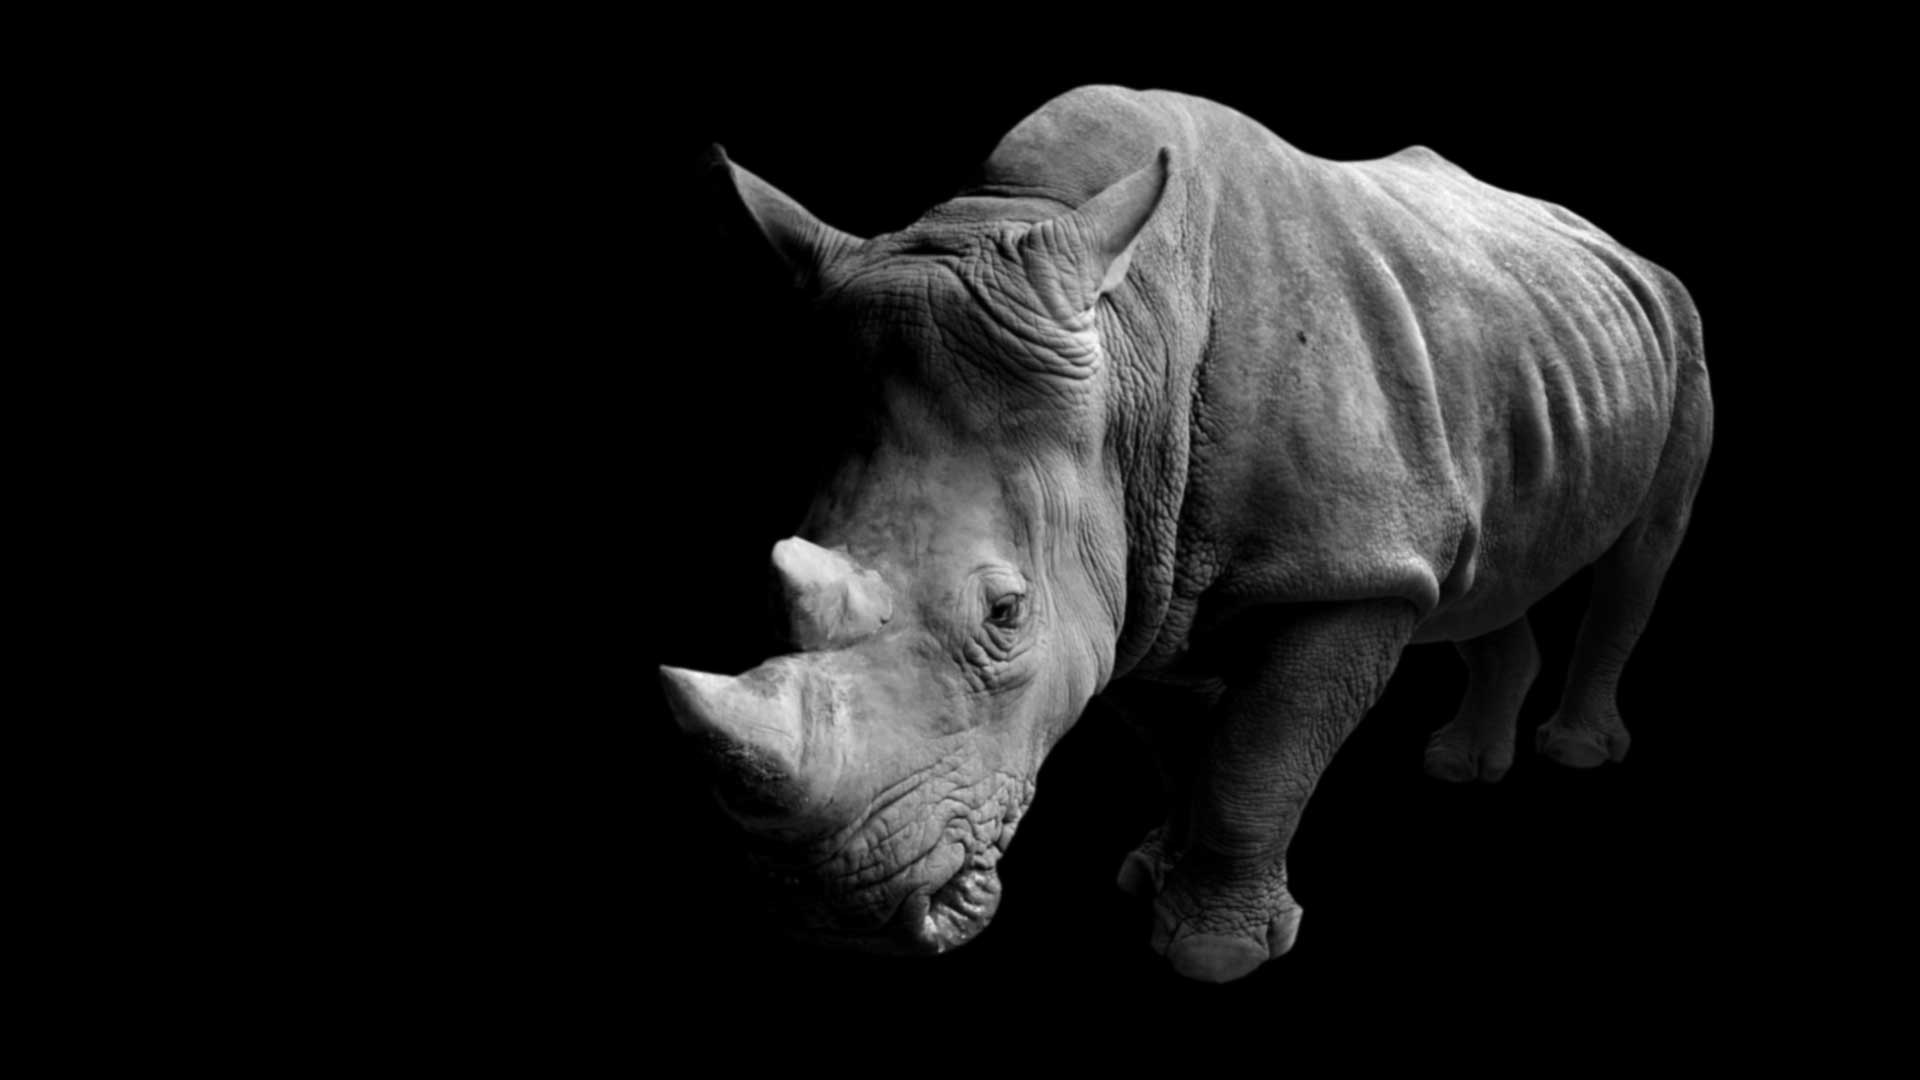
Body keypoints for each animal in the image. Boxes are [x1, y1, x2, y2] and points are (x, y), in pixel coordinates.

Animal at [659, 85, 1712, 983]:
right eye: (772, 587)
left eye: (1005, 615)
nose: (835, 915)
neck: (1134, 351)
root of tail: (1615, 244)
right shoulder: (1137, 568)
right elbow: (1176, 746)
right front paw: (1148, 874)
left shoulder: (1351, 569)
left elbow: (1258, 758)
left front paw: (1217, 953)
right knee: (1492, 570)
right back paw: (1461, 767)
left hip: (1678, 324)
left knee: (1644, 554)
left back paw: (1575, 754)